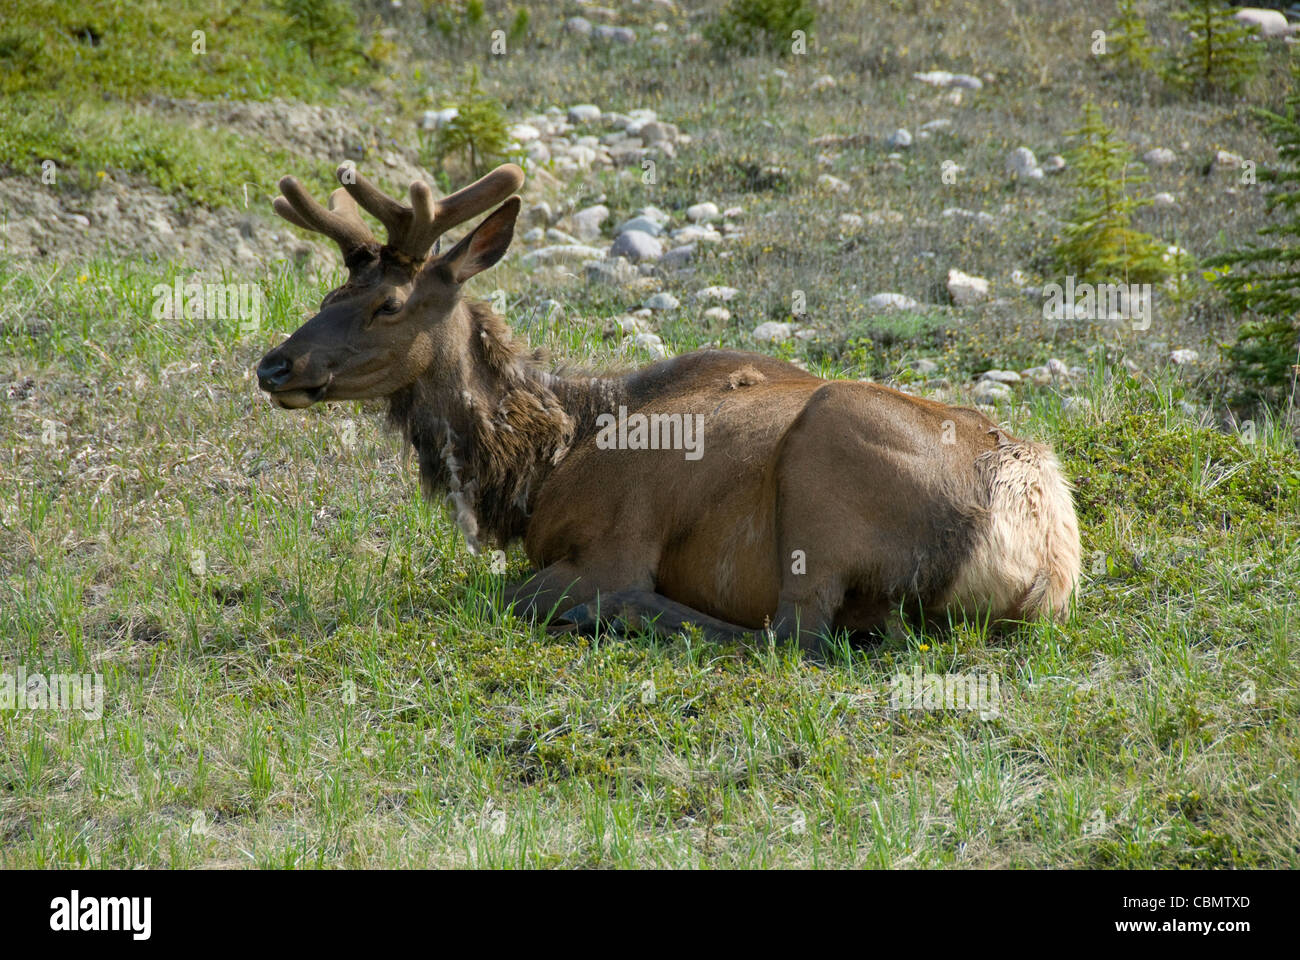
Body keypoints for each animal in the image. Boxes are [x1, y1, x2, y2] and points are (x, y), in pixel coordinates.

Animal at [256, 161, 1082, 656]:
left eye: (388, 304)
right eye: (329, 295)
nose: (274, 364)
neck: (539, 467)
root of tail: (1043, 558)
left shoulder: (615, 538)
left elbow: (512, 592)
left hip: (824, 472)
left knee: (793, 634)